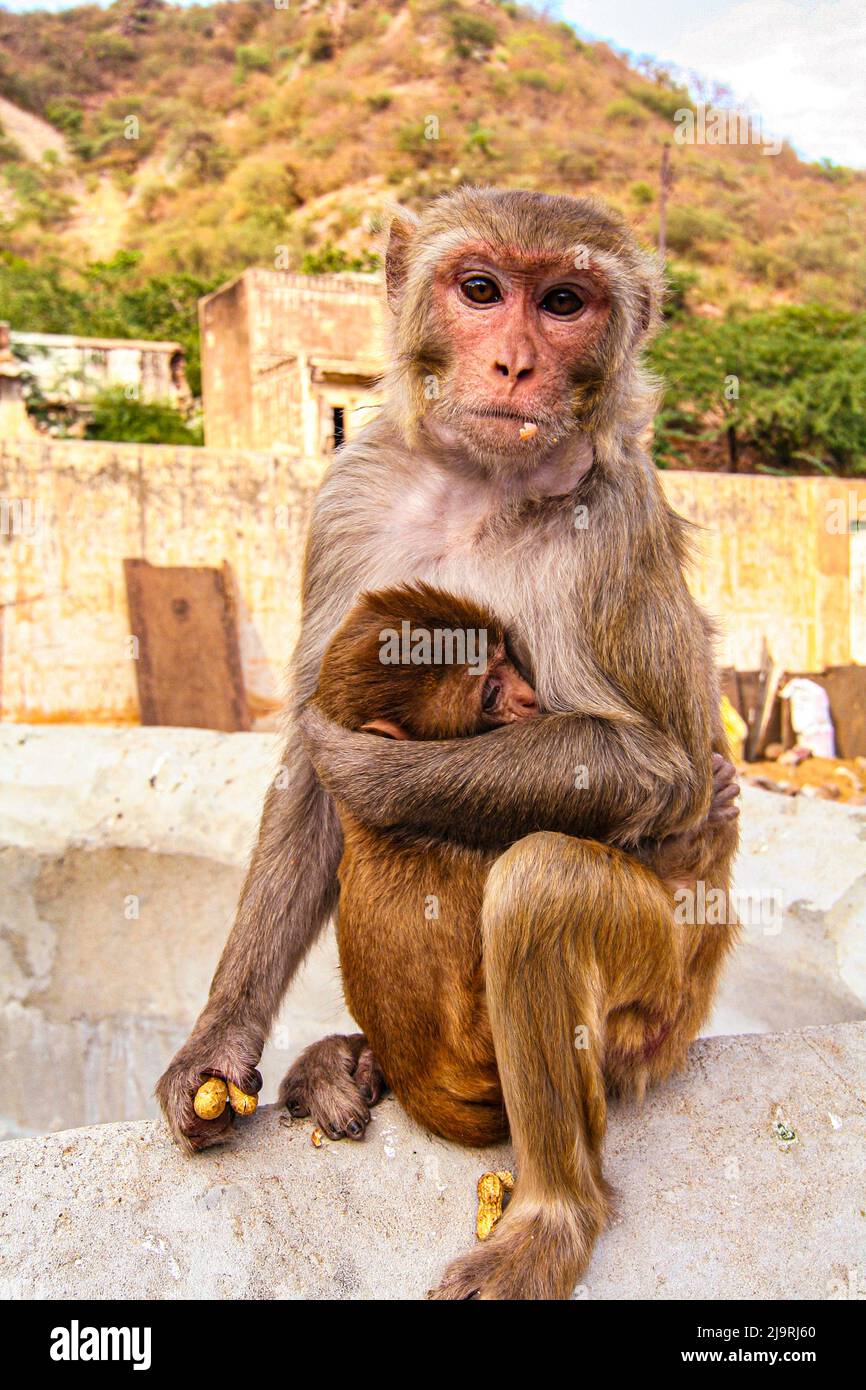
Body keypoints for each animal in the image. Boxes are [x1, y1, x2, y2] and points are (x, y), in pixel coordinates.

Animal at [293, 580, 739, 1157]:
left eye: (507, 659)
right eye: (489, 694)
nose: (528, 699)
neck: (374, 830)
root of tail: (423, 1095)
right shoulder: (477, 846)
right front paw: (694, 828)